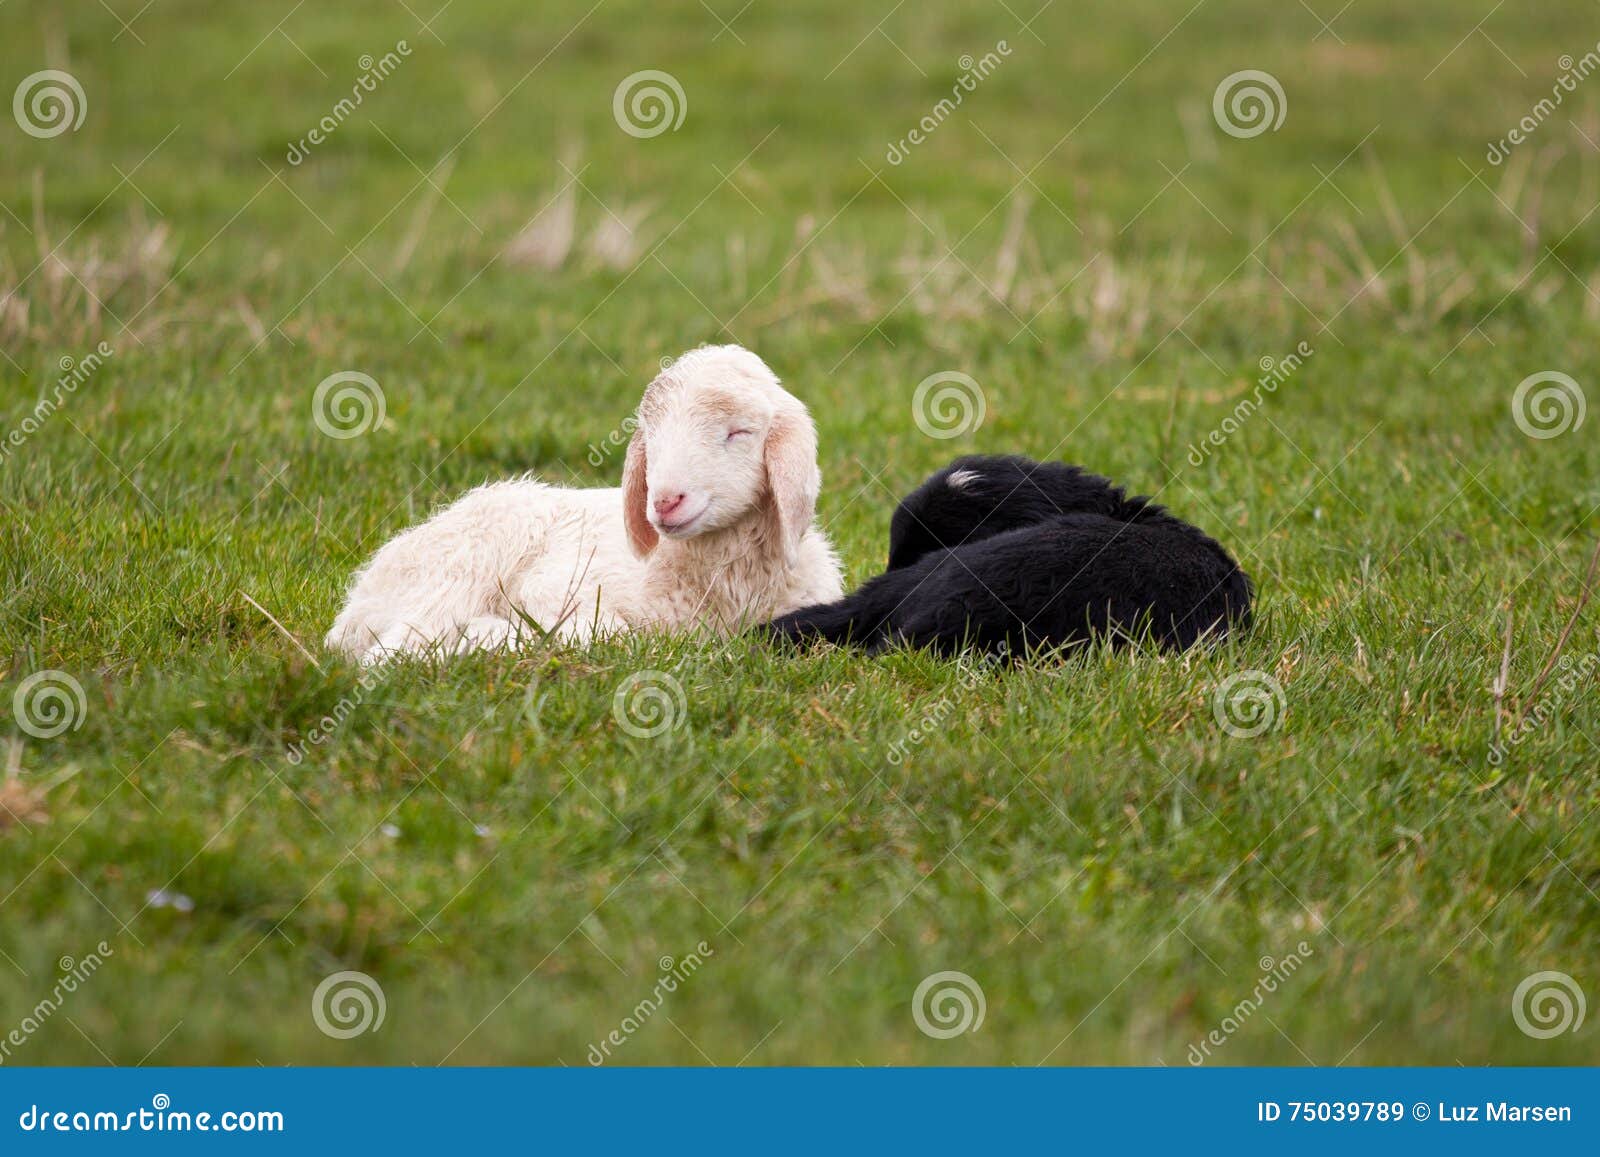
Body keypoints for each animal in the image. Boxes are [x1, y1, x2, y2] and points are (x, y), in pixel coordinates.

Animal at [326, 345, 844, 663]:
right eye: (650, 435)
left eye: (740, 432)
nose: (665, 501)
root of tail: (357, 605)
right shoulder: (554, 586)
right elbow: (615, 635)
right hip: (467, 561)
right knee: (390, 654)